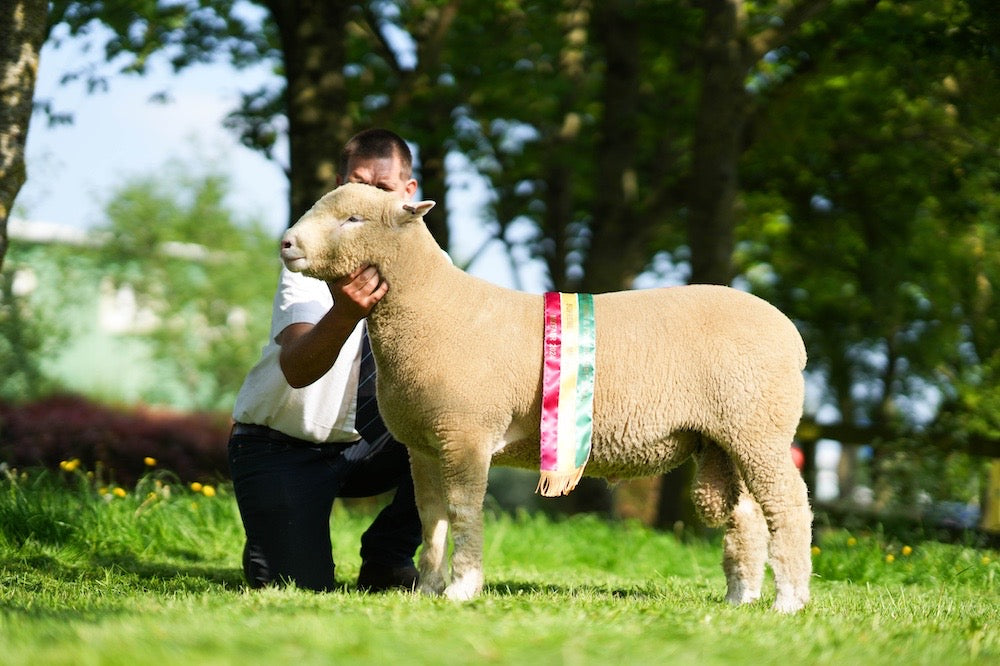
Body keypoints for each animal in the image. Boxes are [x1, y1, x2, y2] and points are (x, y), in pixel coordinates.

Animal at [280, 182, 813, 613]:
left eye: (354, 219)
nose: (286, 243)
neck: (432, 307)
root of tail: (791, 335)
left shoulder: (466, 433)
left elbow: (463, 511)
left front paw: (462, 588)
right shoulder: (424, 444)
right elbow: (432, 518)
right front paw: (429, 588)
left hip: (760, 428)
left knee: (787, 506)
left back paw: (788, 601)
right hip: (724, 437)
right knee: (746, 517)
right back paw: (741, 597)